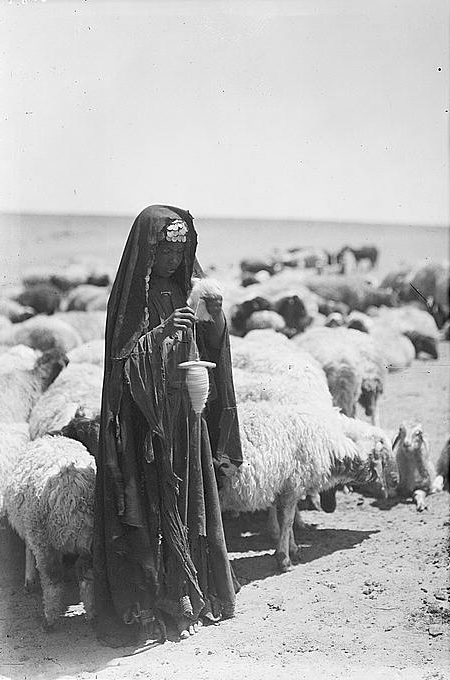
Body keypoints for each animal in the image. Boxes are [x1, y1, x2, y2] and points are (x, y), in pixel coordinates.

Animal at [3, 434, 96, 627]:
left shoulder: (31, 529)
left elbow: (28, 552)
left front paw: (29, 581)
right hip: (89, 538)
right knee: (87, 574)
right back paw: (91, 614)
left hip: (43, 536)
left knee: (51, 576)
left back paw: (49, 619)